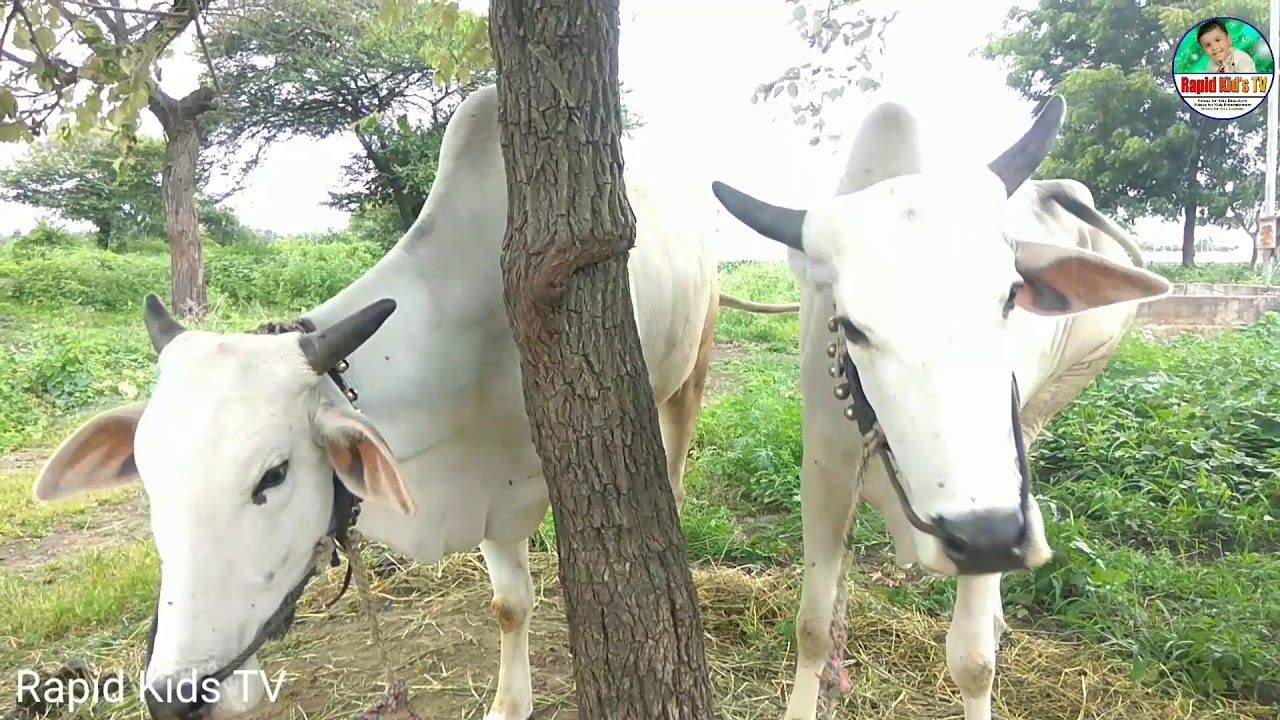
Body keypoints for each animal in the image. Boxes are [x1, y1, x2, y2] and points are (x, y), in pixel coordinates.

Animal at [29, 84, 798, 720]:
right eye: (148, 478)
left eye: (273, 475)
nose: (176, 694)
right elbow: (506, 603)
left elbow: (530, 594)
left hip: (690, 371)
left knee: (674, 456)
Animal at [708, 95, 1171, 720]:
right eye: (851, 327)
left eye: (1011, 295)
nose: (988, 537)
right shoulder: (825, 475)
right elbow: (812, 628)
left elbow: (972, 663)